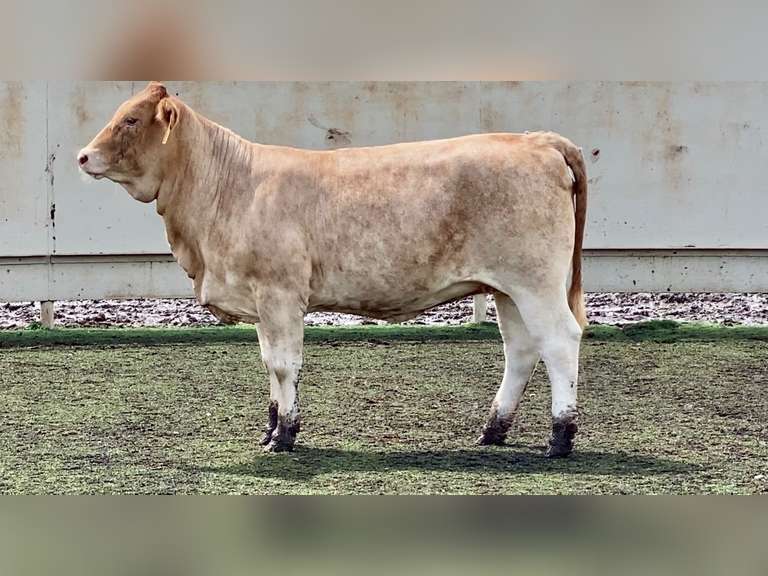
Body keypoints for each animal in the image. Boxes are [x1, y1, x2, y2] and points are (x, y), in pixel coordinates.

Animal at [78, 82, 588, 457]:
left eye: (131, 118)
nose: (82, 155)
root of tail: (536, 140)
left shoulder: (280, 293)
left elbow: (284, 365)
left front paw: (285, 436)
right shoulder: (260, 300)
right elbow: (269, 363)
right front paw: (271, 429)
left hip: (536, 282)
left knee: (559, 341)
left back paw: (559, 437)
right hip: (507, 288)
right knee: (521, 349)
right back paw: (492, 430)